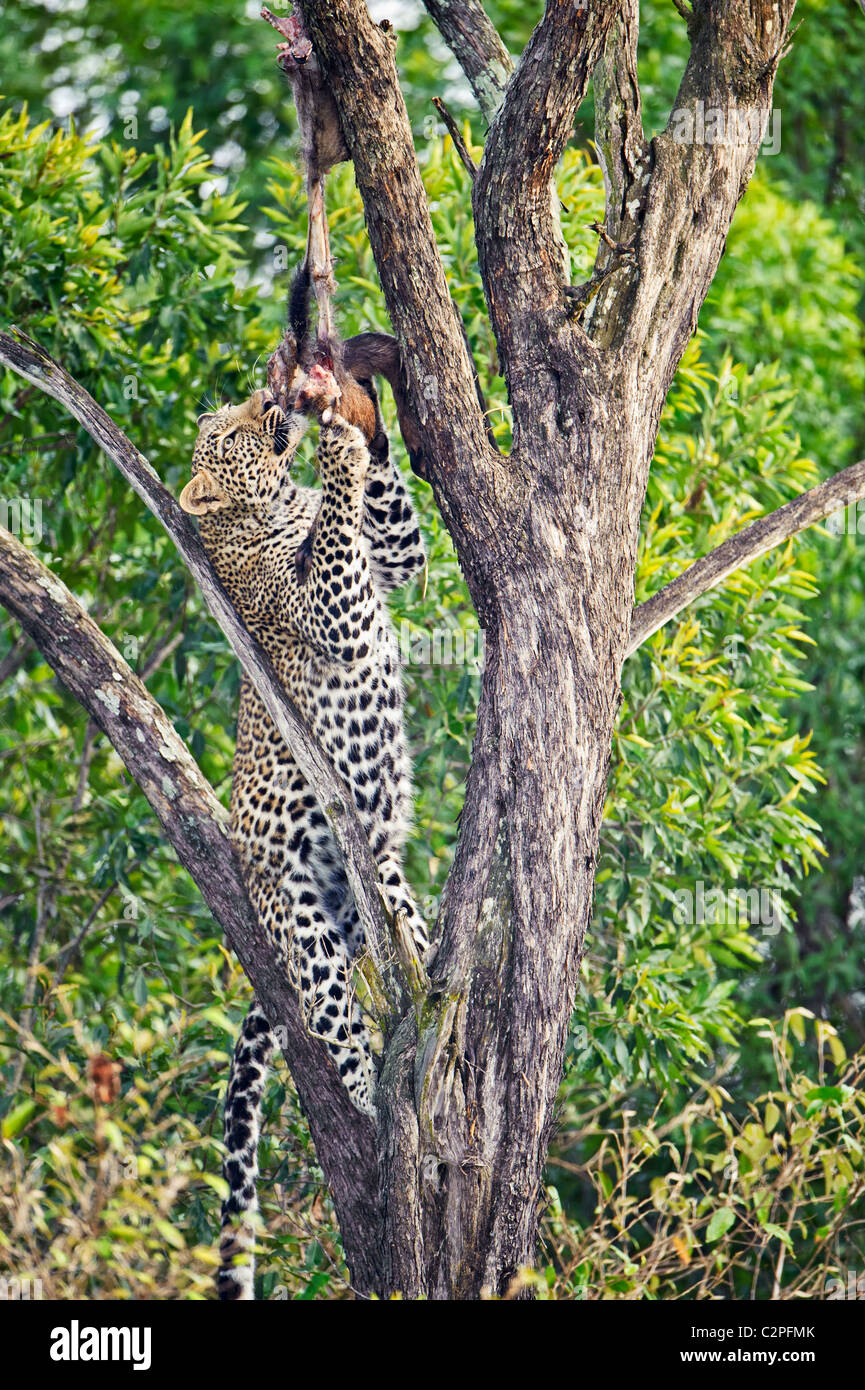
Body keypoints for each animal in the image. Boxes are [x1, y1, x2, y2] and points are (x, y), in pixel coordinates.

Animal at [179, 369, 428, 1299]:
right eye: (229, 437)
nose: (264, 396)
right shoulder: (332, 607)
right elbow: (332, 541)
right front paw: (337, 452)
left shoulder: (393, 564)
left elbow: (393, 536)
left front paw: (358, 422)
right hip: (302, 923)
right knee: (336, 1025)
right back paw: (373, 1087)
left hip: (376, 891)